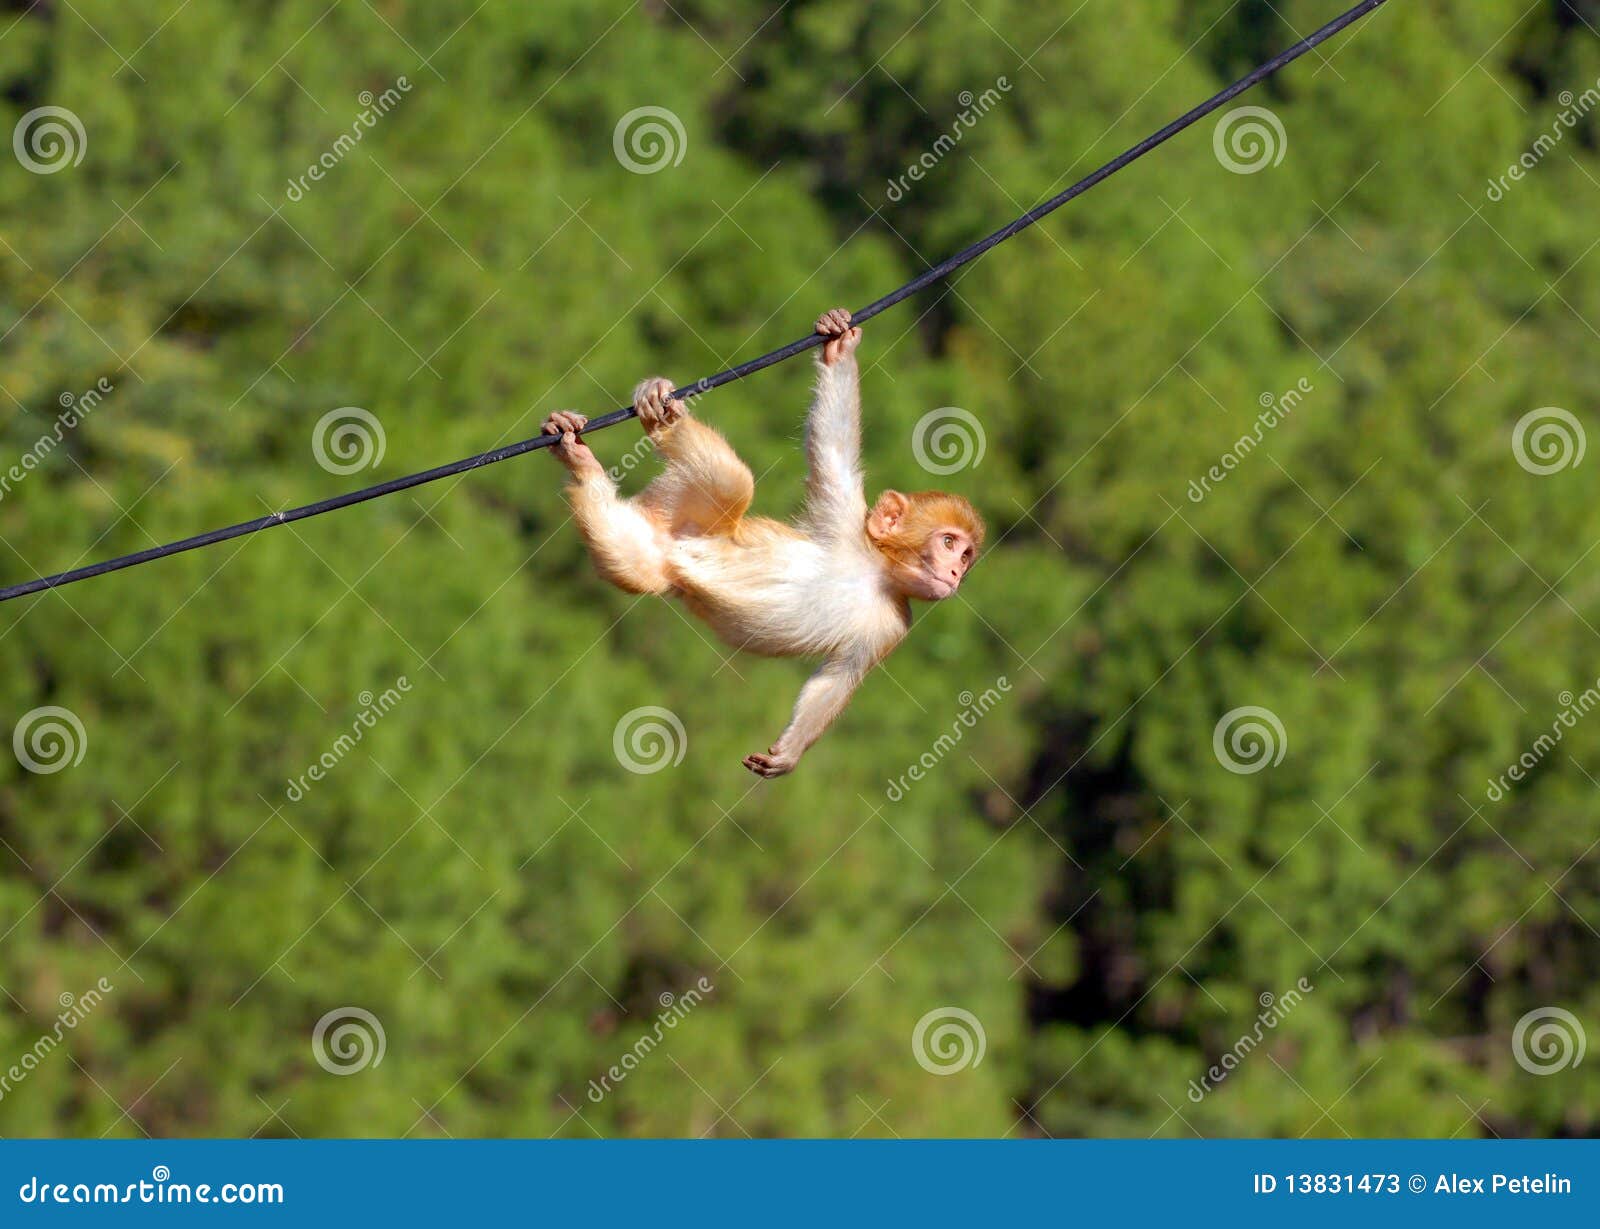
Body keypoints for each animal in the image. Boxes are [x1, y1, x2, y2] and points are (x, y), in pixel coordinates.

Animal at [542, 307, 984, 778]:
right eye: (949, 542)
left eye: (966, 555)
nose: (955, 572)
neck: (877, 572)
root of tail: (672, 546)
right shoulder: (843, 520)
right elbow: (831, 445)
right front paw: (839, 348)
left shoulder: (895, 624)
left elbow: (839, 677)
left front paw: (788, 753)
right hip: (684, 508)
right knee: (733, 480)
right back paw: (662, 417)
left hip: (642, 548)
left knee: (628, 553)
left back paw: (582, 466)